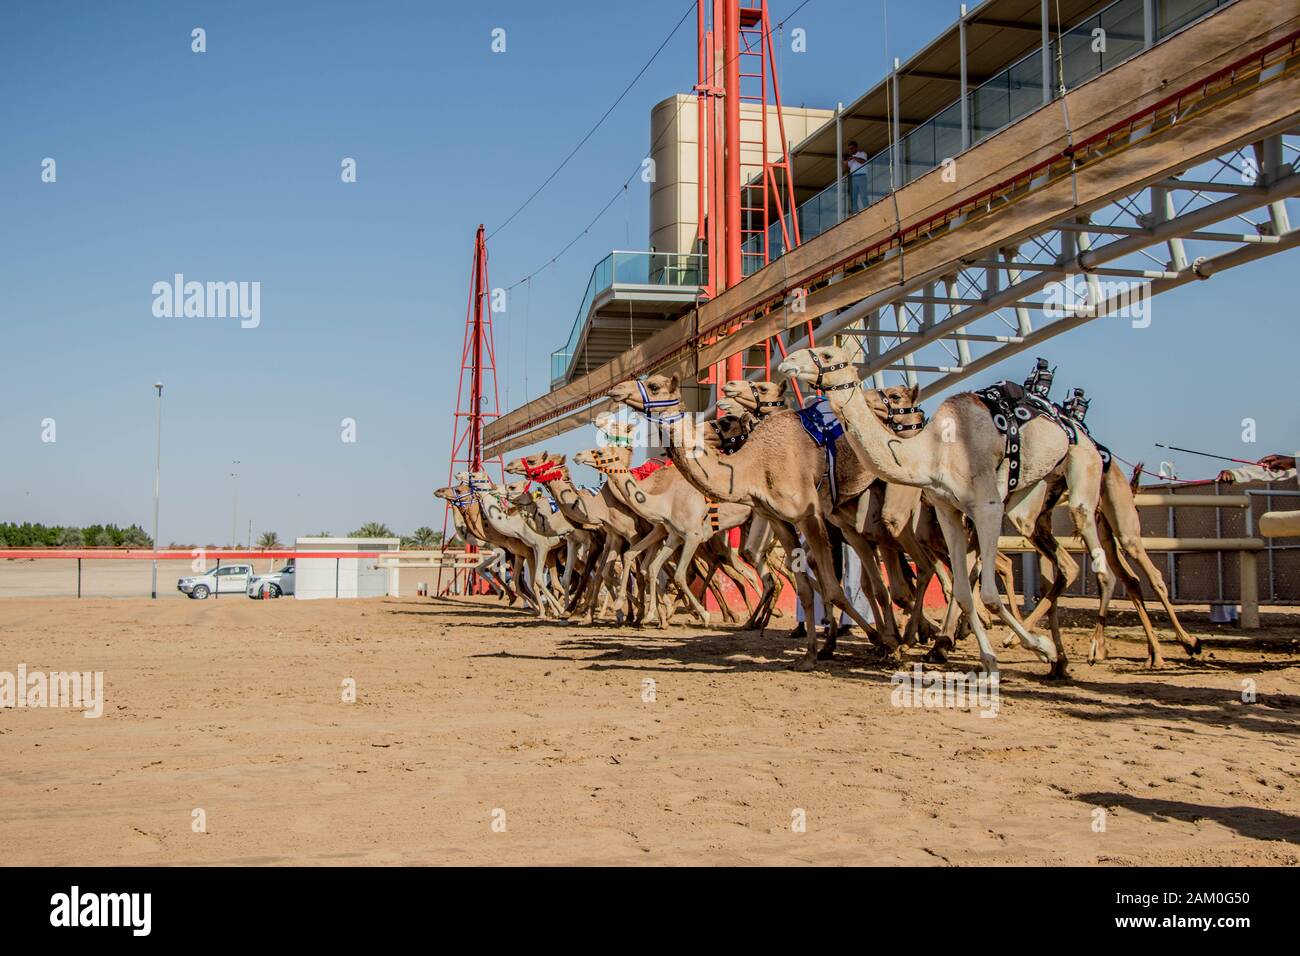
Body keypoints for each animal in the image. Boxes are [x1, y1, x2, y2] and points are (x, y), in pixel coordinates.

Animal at [779, 345, 1113, 678]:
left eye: (827, 355)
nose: (789, 362)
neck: (935, 453)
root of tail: (1075, 425)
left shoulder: (985, 508)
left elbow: (985, 593)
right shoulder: (945, 509)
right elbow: (960, 590)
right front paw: (990, 656)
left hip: (1082, 469)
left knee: (1098, 562)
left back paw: (1092, 648)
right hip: (1030, 501)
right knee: (1062, 563)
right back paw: (1057, 660)